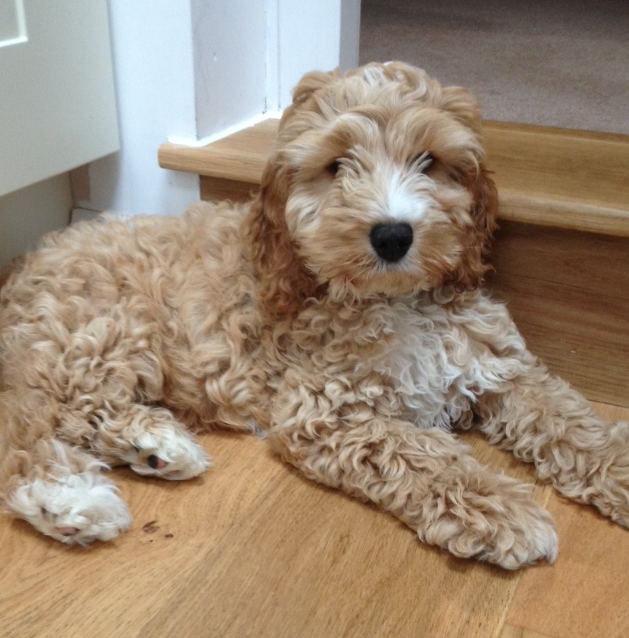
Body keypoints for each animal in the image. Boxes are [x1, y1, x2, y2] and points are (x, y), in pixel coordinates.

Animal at [1, 62, 628, 569]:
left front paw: (620, 466)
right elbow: (425, 456)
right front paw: (499, 509)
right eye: (336, 165)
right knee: (30, 422)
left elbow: (570, 417)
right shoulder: (326, 411)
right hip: (95, 332)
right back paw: (67, 497)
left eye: (430, 161)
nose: (393, 235)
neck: (394, 298)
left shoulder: (499, 365)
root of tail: (21, 266)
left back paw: (153, 447)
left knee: (88, 411)